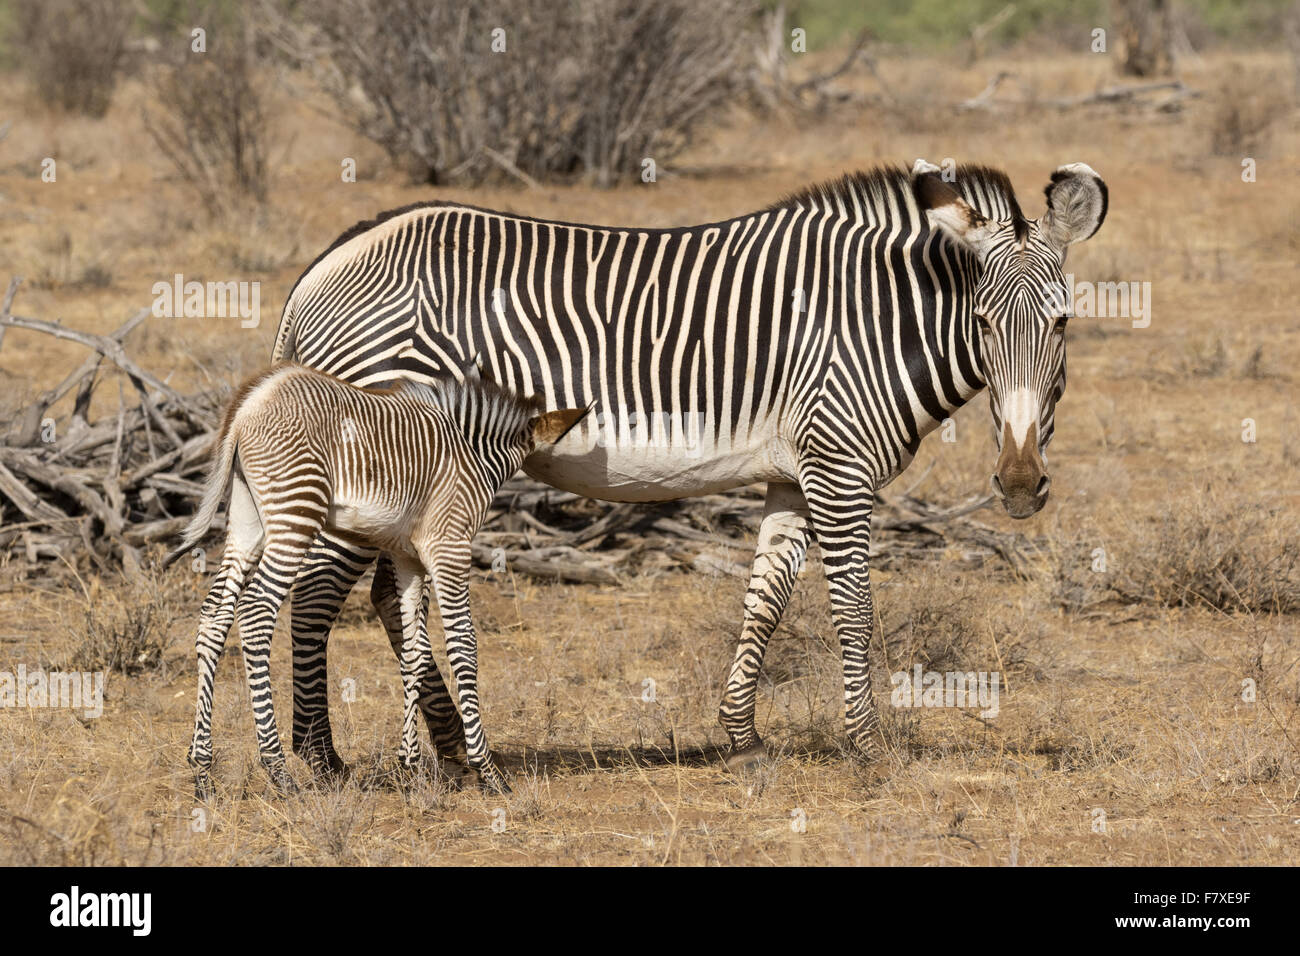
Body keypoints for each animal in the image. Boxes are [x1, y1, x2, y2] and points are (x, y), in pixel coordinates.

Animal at [164, 364, 588, 797]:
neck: (472, 454)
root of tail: (255, 397)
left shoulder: (408, 557)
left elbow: (415, 650)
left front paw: (410, 765)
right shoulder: (449, 546)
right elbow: (462, 646)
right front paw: (486, 769)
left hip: (247, 515)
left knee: (214, 615)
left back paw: (202, 769)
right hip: (296, 510)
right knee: (255, 612)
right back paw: (277, 768)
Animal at [271, 159, 1108, 776]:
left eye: (1063, 322)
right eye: (983, 324)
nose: (1020, 484)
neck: (877, 323)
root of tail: (324, 266)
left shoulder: (792, 474)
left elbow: (765, 600)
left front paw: (742, 739)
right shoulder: (839, 465)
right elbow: (853, 608)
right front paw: (868, 746)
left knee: (382, 595)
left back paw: (443, 747)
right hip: (375, 458)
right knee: (314, 598)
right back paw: (322, 760)